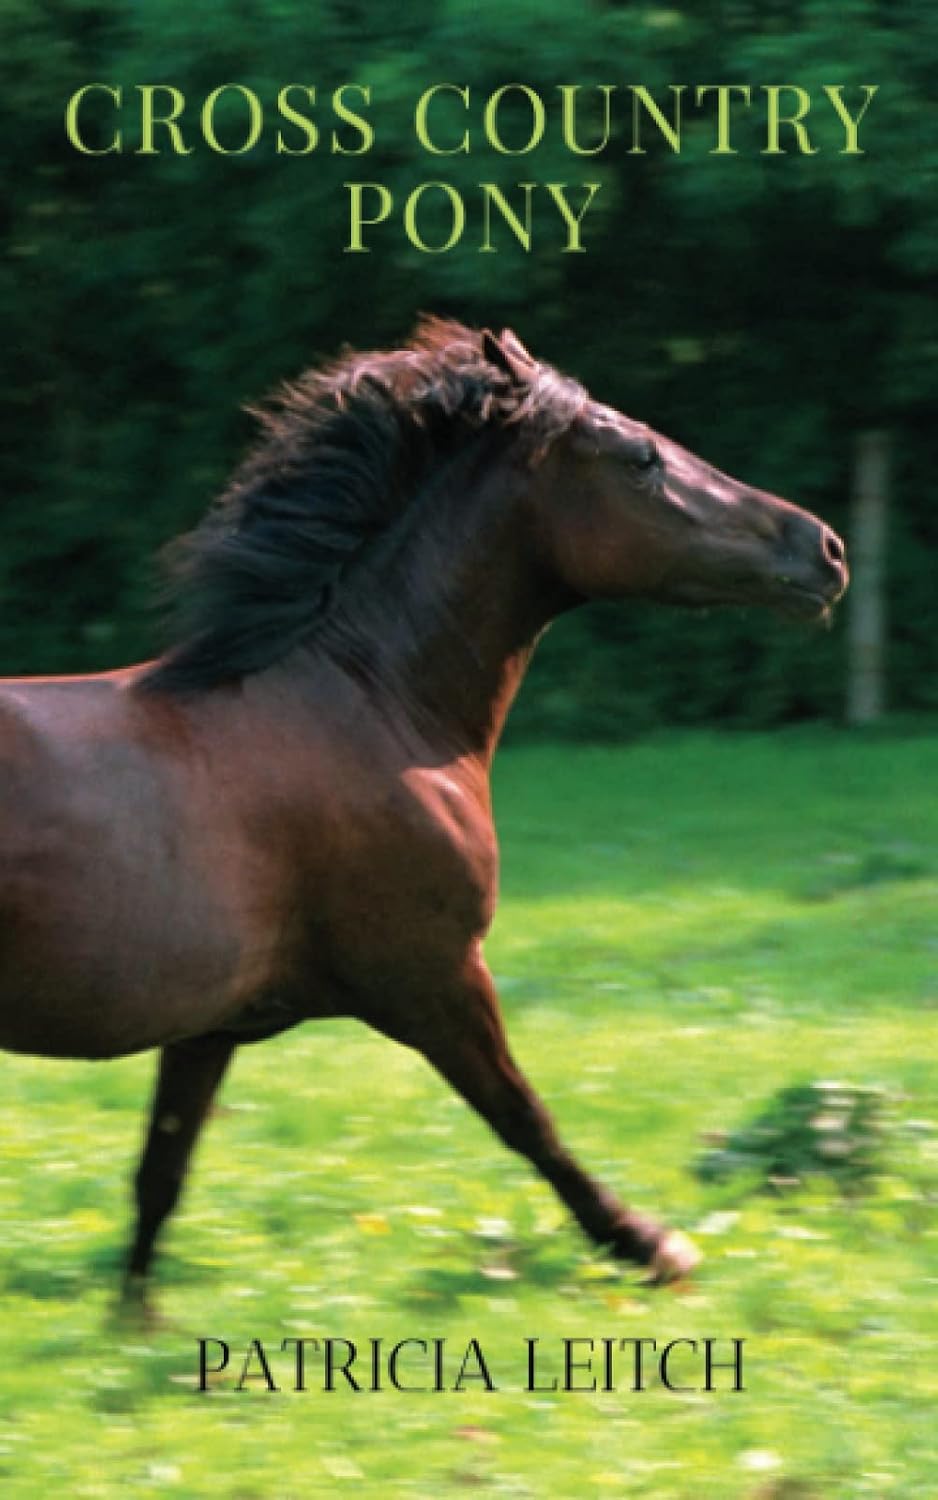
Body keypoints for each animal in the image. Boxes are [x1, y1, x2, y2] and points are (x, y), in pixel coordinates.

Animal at [0, 320, 847, 1311]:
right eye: (640, 457)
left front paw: (135, 1321)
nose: (825, 548)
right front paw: (652, 1246)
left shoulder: (208, 1024)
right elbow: (529, 1122)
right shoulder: (433, 978)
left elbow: (160, 1173)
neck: (373, 703)